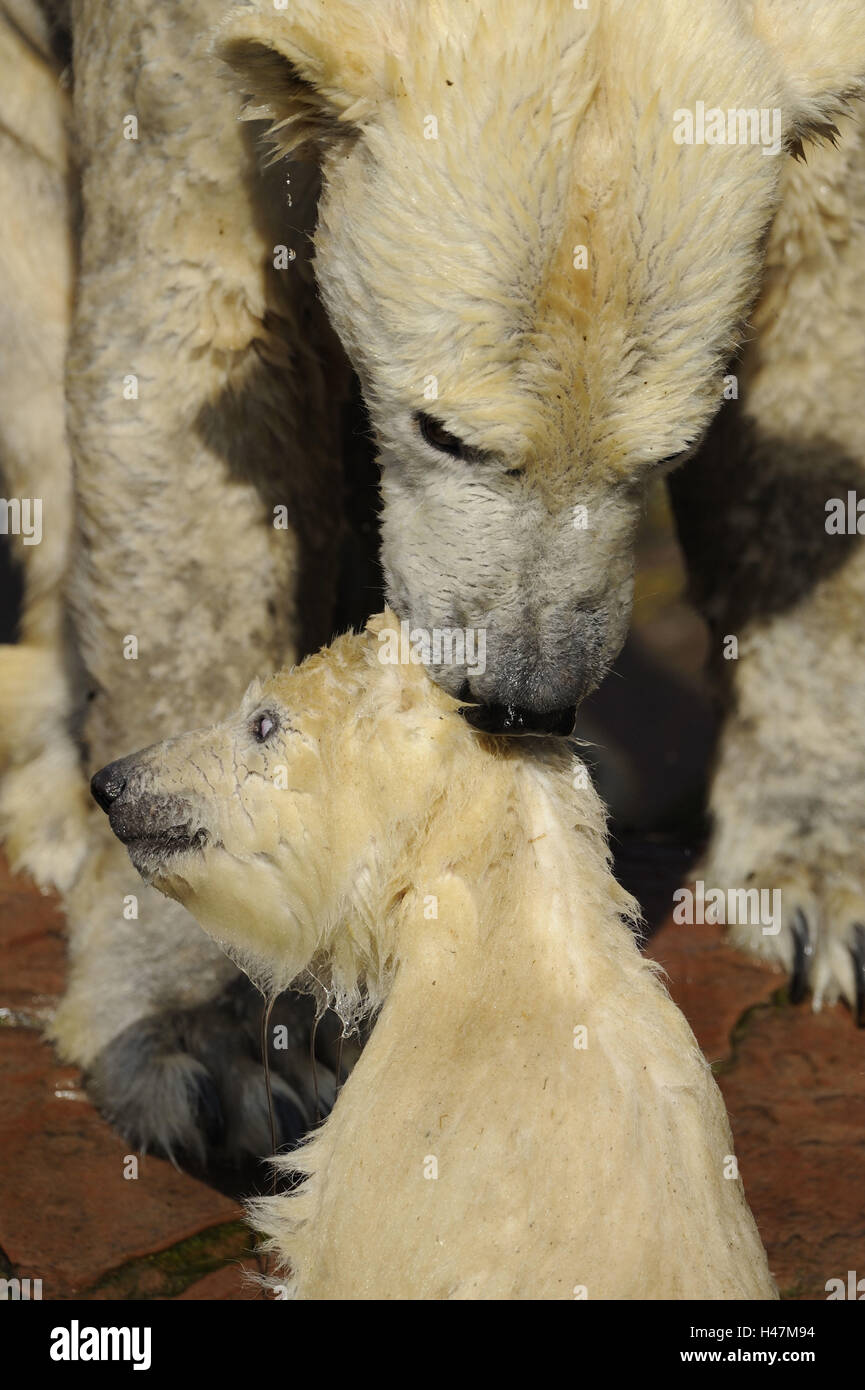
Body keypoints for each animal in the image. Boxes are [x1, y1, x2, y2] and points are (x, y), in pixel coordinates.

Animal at [1, 0, 864, 1168]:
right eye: (443, 430)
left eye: (666, 451)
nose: (524, 695)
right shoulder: (175, 55)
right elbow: (199, 333)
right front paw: (211, 1035)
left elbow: (821, 326)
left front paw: (814, 878)